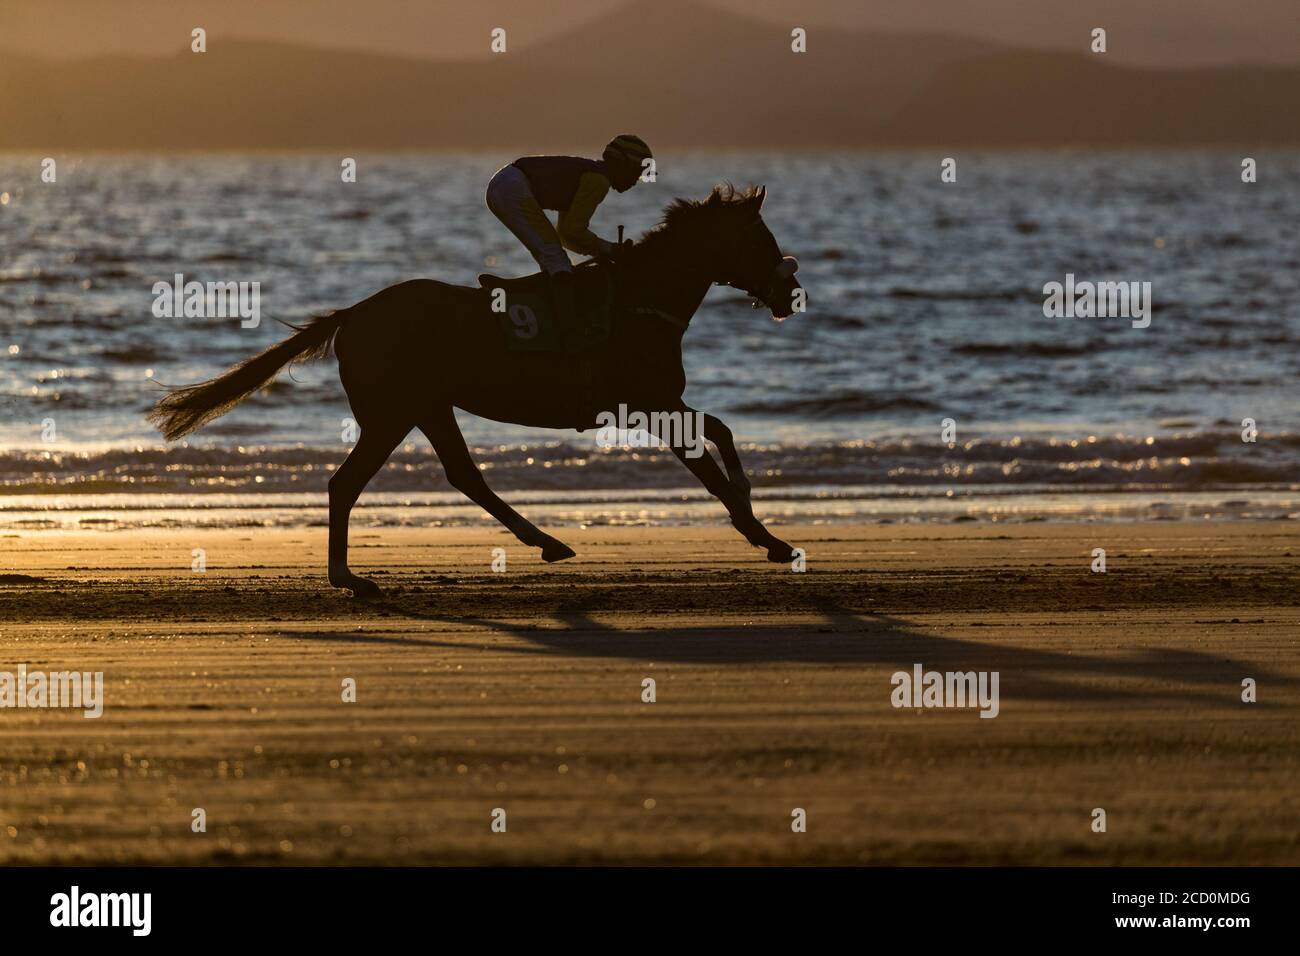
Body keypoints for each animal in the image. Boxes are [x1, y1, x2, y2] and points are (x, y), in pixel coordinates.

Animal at [149, 184, 804, 597]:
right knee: (356, 482)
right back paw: (351, 577)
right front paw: (769, 540)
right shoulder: (652, 405)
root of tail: (355, 313)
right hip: (395, 410)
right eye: (761, 240)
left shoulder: (663, 403)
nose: (788, 293)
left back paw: (541, 543)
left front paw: (757, 512)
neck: (644, 299)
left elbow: (722, 432)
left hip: (426, 406)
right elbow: (711, 468)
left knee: (456, 474)